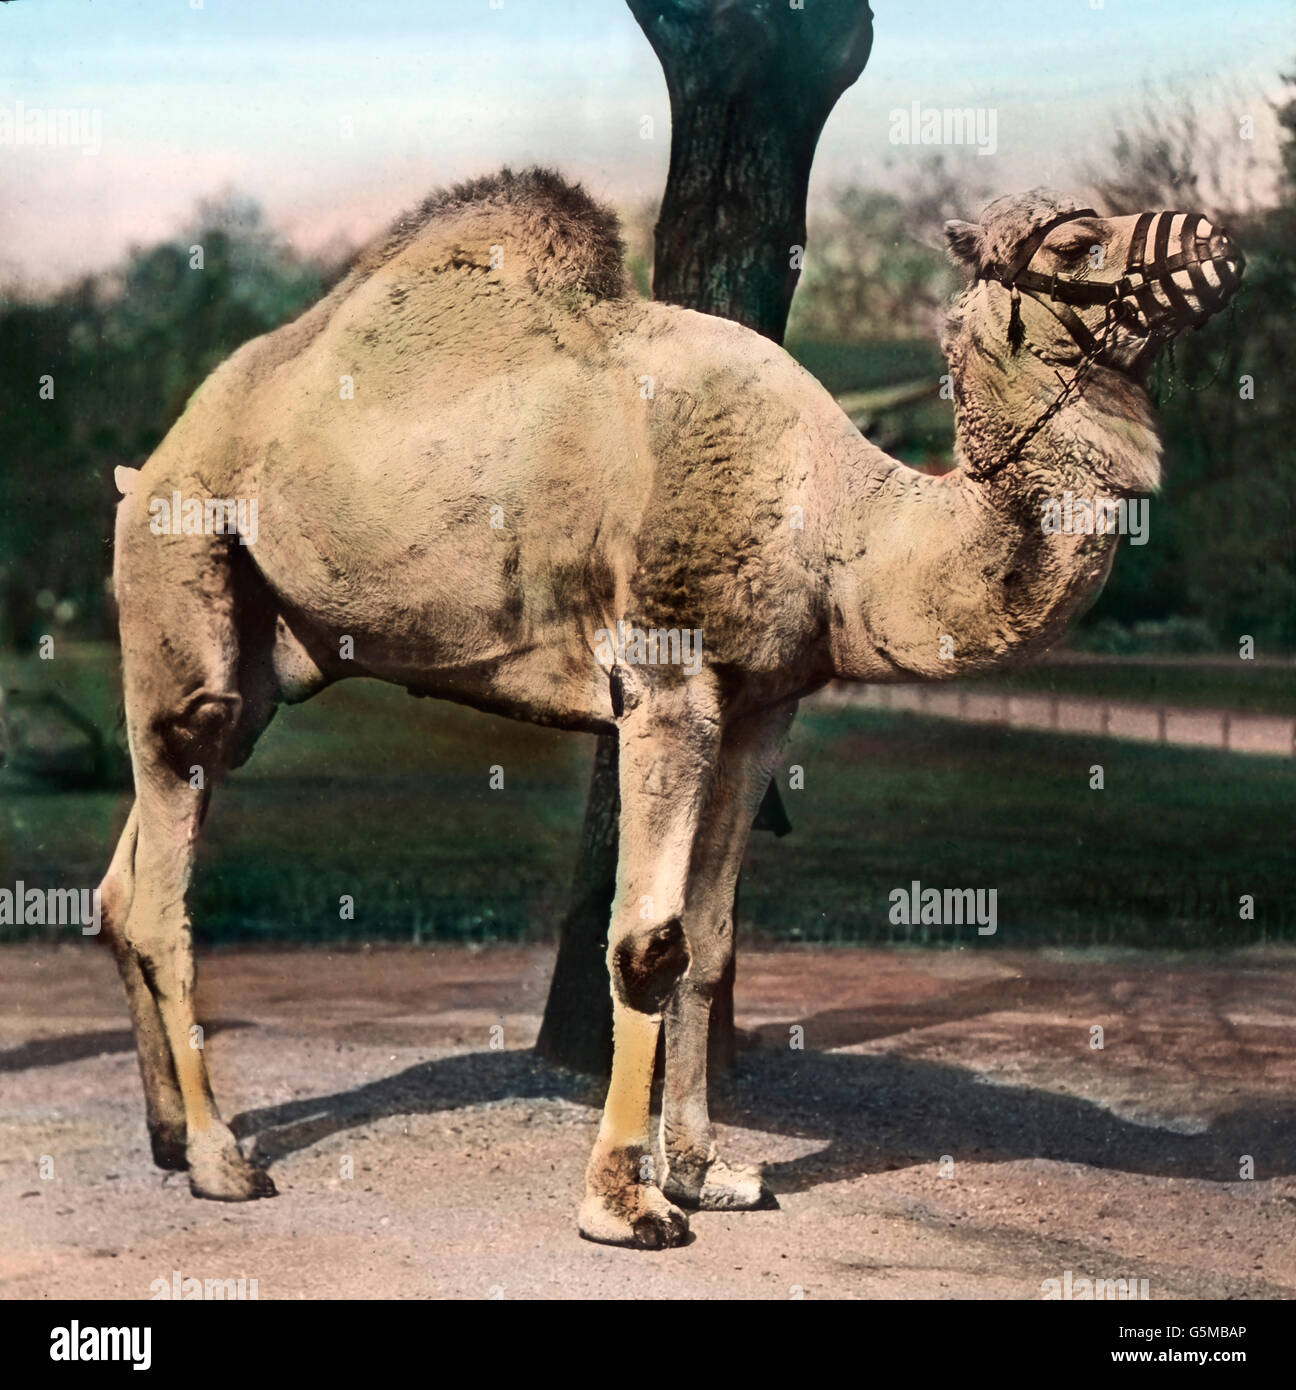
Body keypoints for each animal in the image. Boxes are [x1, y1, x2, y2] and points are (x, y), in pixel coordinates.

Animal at [99, 168, 1242, 1249]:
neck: (836, 526)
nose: (1218, 237)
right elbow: (647, 943)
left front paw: (706, 1172)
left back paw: (163, 1136)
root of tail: (145, 461)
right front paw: (625, 1204)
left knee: (127, 876)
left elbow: (713, 936)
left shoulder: (764, 703)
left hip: (266, 662)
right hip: (180, 571)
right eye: (1078, 243)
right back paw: (221, 1159)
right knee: (162, 886)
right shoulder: (668, 680)